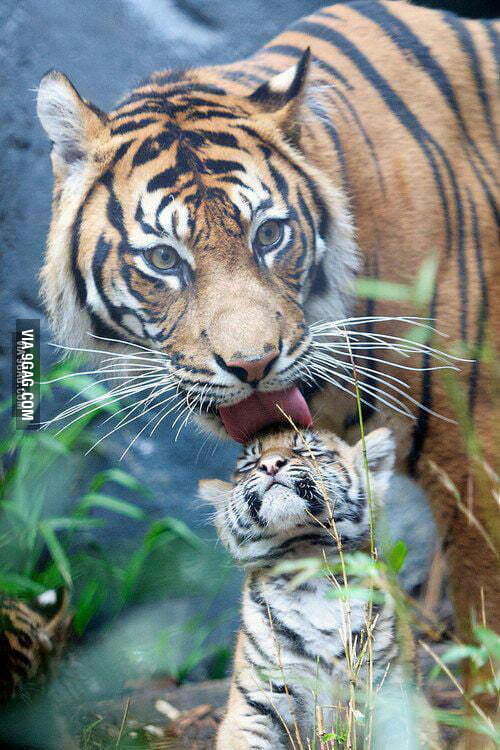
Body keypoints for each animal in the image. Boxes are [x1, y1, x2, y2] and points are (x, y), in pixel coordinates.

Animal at [199, 425, 438, 749]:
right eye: (249, 465)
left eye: (306, 449)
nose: (270, 464)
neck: (309, 562)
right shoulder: (254, 704)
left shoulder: (397, 697)